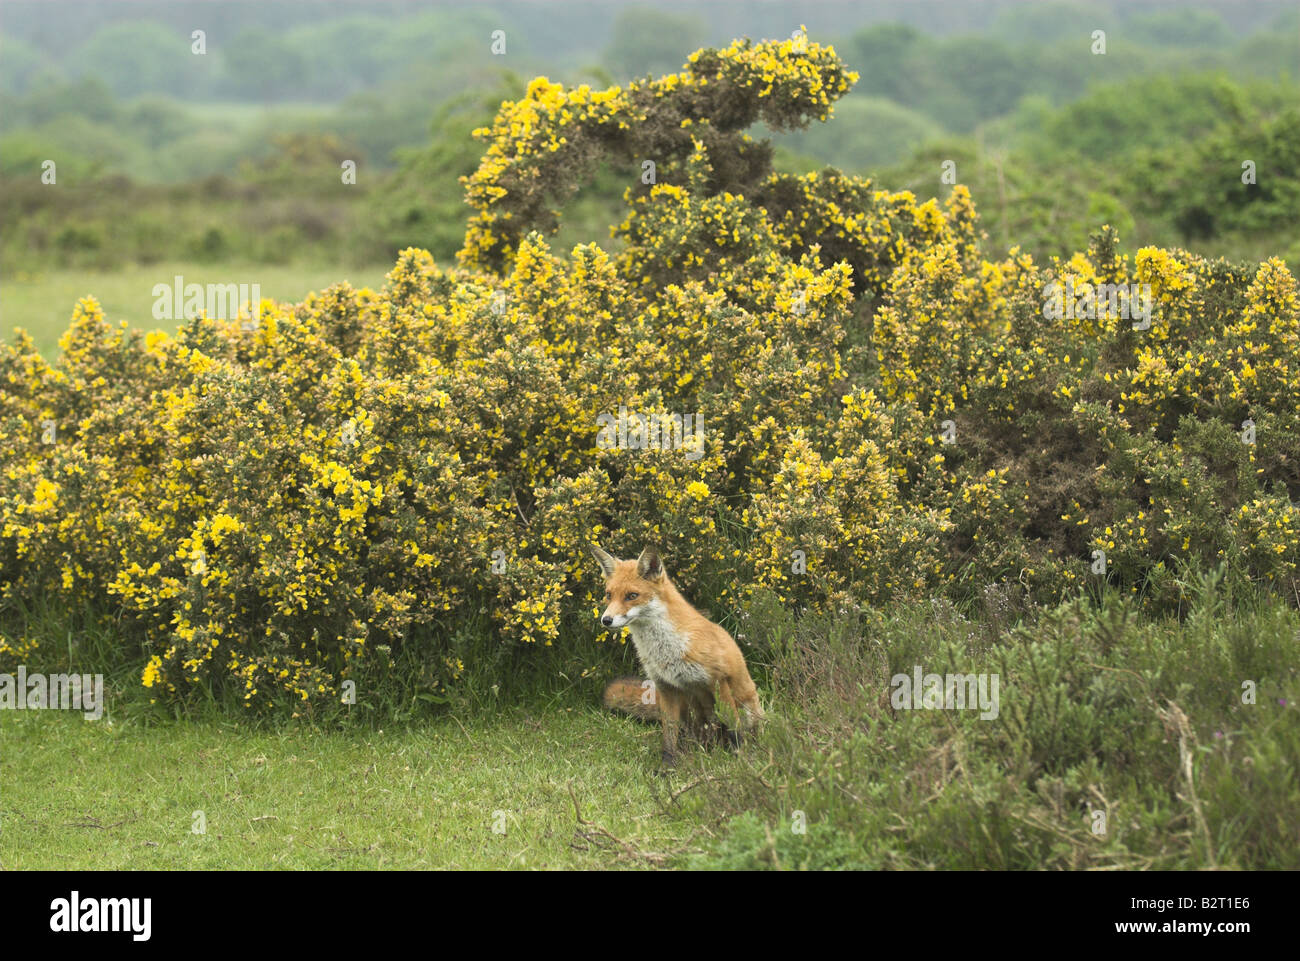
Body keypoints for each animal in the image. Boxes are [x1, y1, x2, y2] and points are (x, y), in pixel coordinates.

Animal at [591, 544, 764, 767]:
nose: (606, 620)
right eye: (608, 595)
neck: (665, 649)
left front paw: (741, 758)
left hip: (747, 707)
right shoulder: (666, 687)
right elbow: (669, 734)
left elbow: (733, 726)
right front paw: (667, 766)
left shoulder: (719, 680)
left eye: (632, 595)